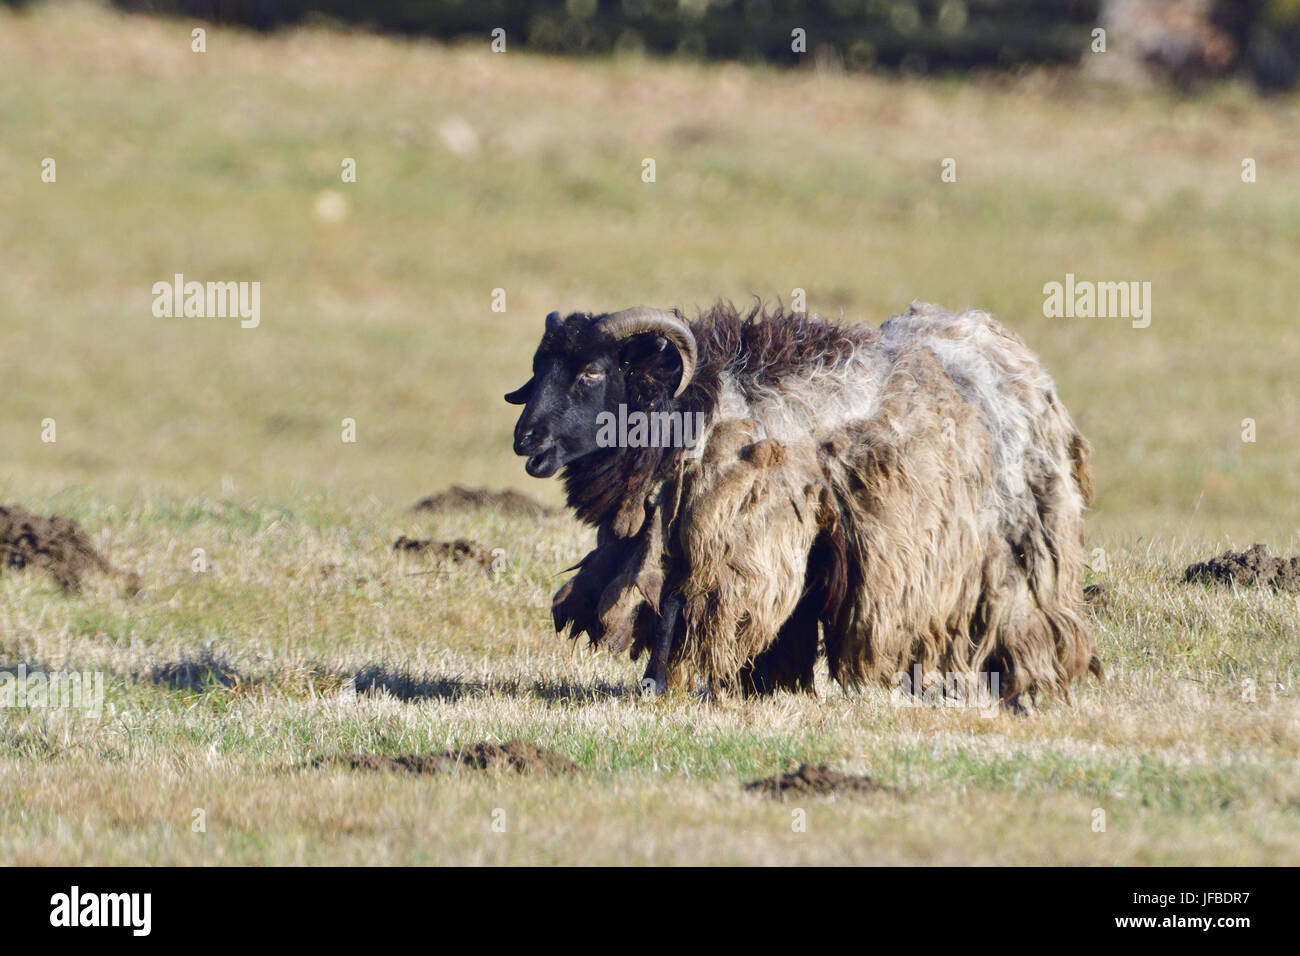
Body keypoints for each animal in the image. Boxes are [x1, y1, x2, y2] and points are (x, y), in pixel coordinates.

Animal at [506, 300, 1101, 704]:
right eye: (538, 369)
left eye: (591, 372)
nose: (526, 441)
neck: (702, 407)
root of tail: (1024, 364)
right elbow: (673, 594)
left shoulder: (738, 534)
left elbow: (685, 600)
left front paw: (668, 685)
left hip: (1017, 533)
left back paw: (1019, 685)